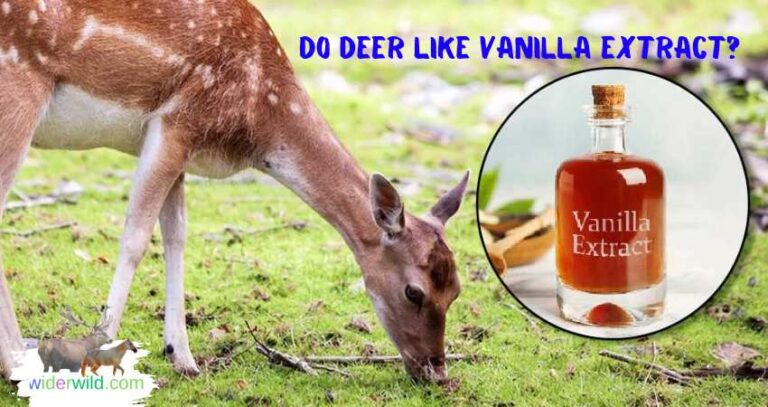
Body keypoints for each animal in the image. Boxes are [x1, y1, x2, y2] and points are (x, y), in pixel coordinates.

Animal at [0, 0, 469, 383]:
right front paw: (101, 352)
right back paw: (16, 359)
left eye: (457, 291)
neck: (258, 122)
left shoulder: (180, 145)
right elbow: (135, 237)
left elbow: (176, 236)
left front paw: (182, 357)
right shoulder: (176, 121)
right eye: (414, 291)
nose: (436, 371)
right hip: (18, 88)